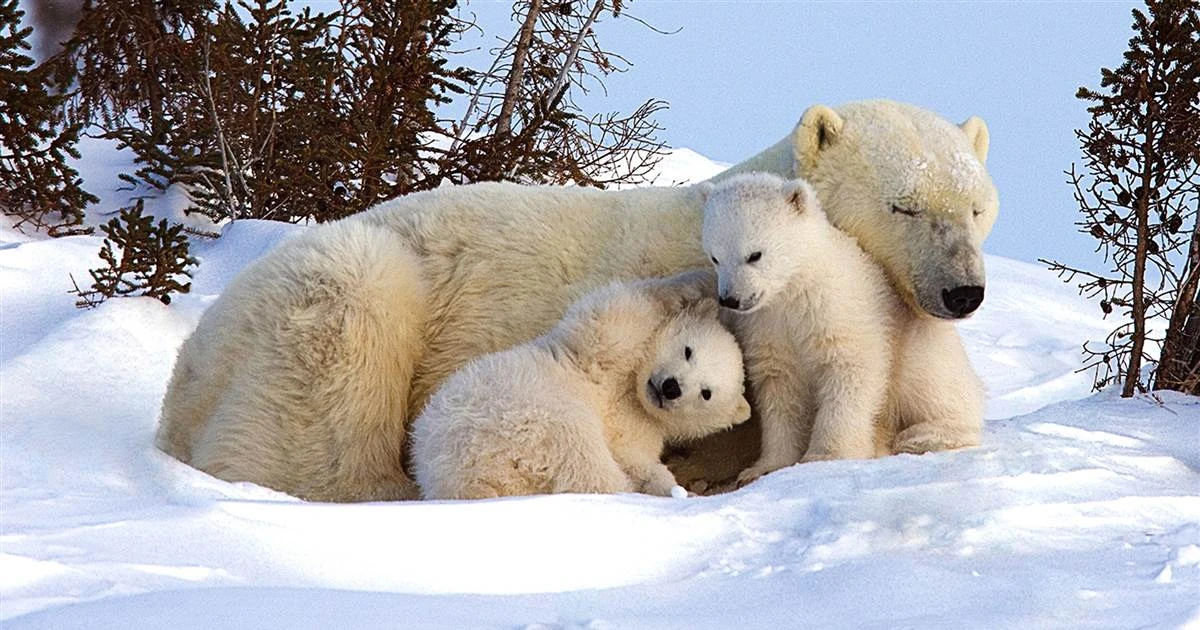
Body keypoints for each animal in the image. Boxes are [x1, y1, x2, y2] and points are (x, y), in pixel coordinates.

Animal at [410, 273, 752, 500]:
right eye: (688, 350)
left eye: (706, 393)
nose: (671, 388)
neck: (631, 393)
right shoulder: (599, 355)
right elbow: (618, 314)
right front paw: (696, 284)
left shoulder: (643, 428)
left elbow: (638, 458)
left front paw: (671, 486)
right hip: (516, 409)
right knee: (578, 449)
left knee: (585, 464)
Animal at [699, 173, 984, 486]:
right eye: (714, 257)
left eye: (754, 255)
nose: (731, 299)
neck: (796, 290)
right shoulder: (767, 328)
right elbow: (779, 391)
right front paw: (764, 467)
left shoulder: (839, 311)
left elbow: (850, 371)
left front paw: (827, 456)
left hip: (922, 345)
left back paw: (922, 436)